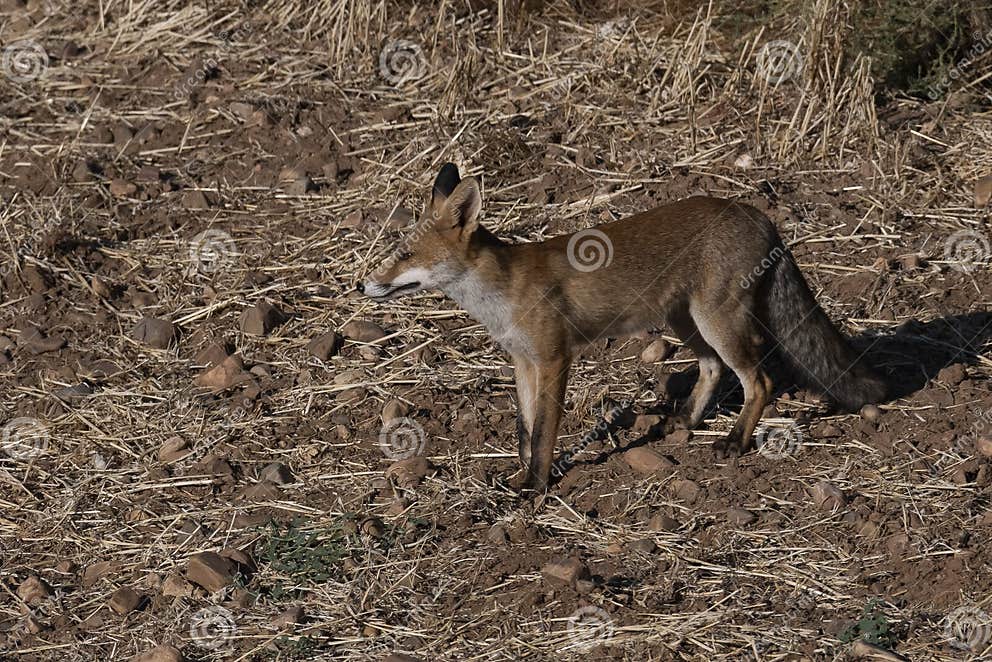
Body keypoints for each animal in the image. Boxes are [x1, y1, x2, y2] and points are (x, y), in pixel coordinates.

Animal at [359, 163, 887, 492]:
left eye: (404, 253)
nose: (364, 284)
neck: (501, 294)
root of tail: (755, 212)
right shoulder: (523, 361)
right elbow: (525, 430)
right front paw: (520, 478)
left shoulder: (554, 358)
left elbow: (545, 432)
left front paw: (537, 487)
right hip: (686, 321)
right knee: (713, 369)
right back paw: (686, 422)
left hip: (717, 322)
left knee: (760, 380)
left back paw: (734, 442)